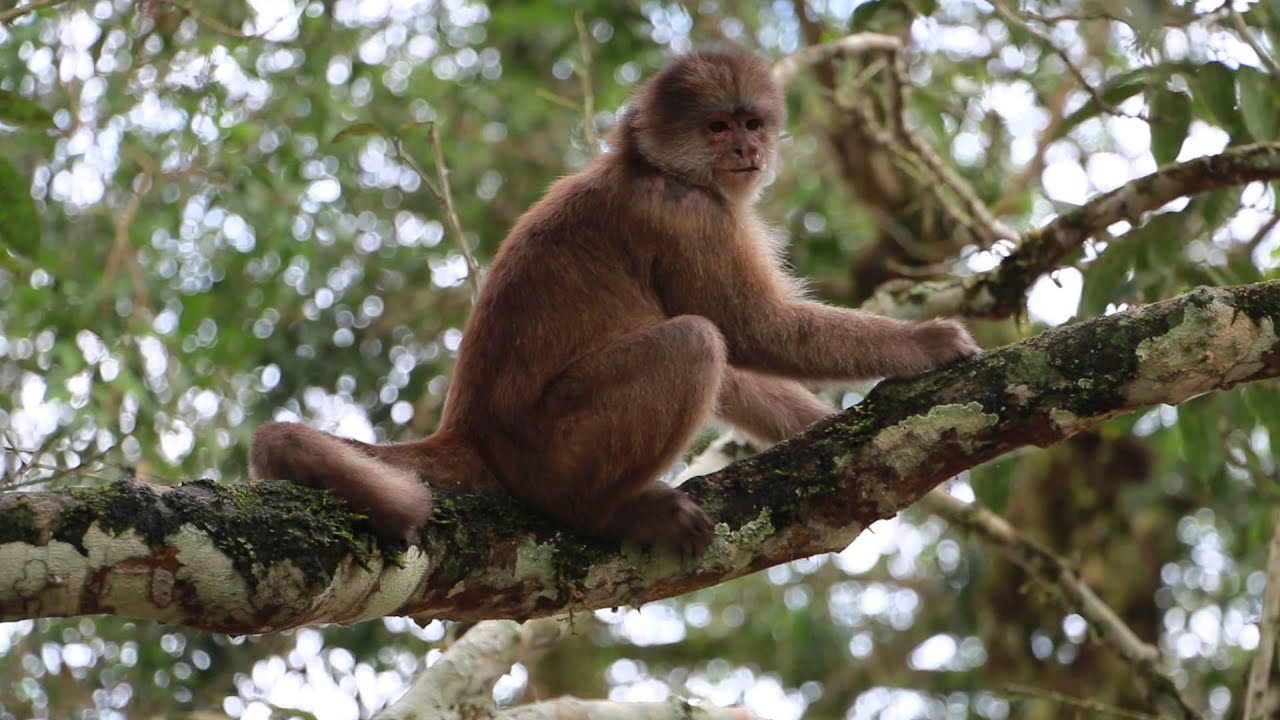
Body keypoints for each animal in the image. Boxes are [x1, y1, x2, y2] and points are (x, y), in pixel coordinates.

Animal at [251, 50, 980, 556]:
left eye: (751, 122)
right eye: (717, 126)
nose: (747, 147)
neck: (651, 166)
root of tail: (470, 429)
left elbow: (740, 369)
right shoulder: (686, 213)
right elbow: (751, 332)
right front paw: (928, 345)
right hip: (549, 450)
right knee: (695, 341)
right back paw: (602, 512)